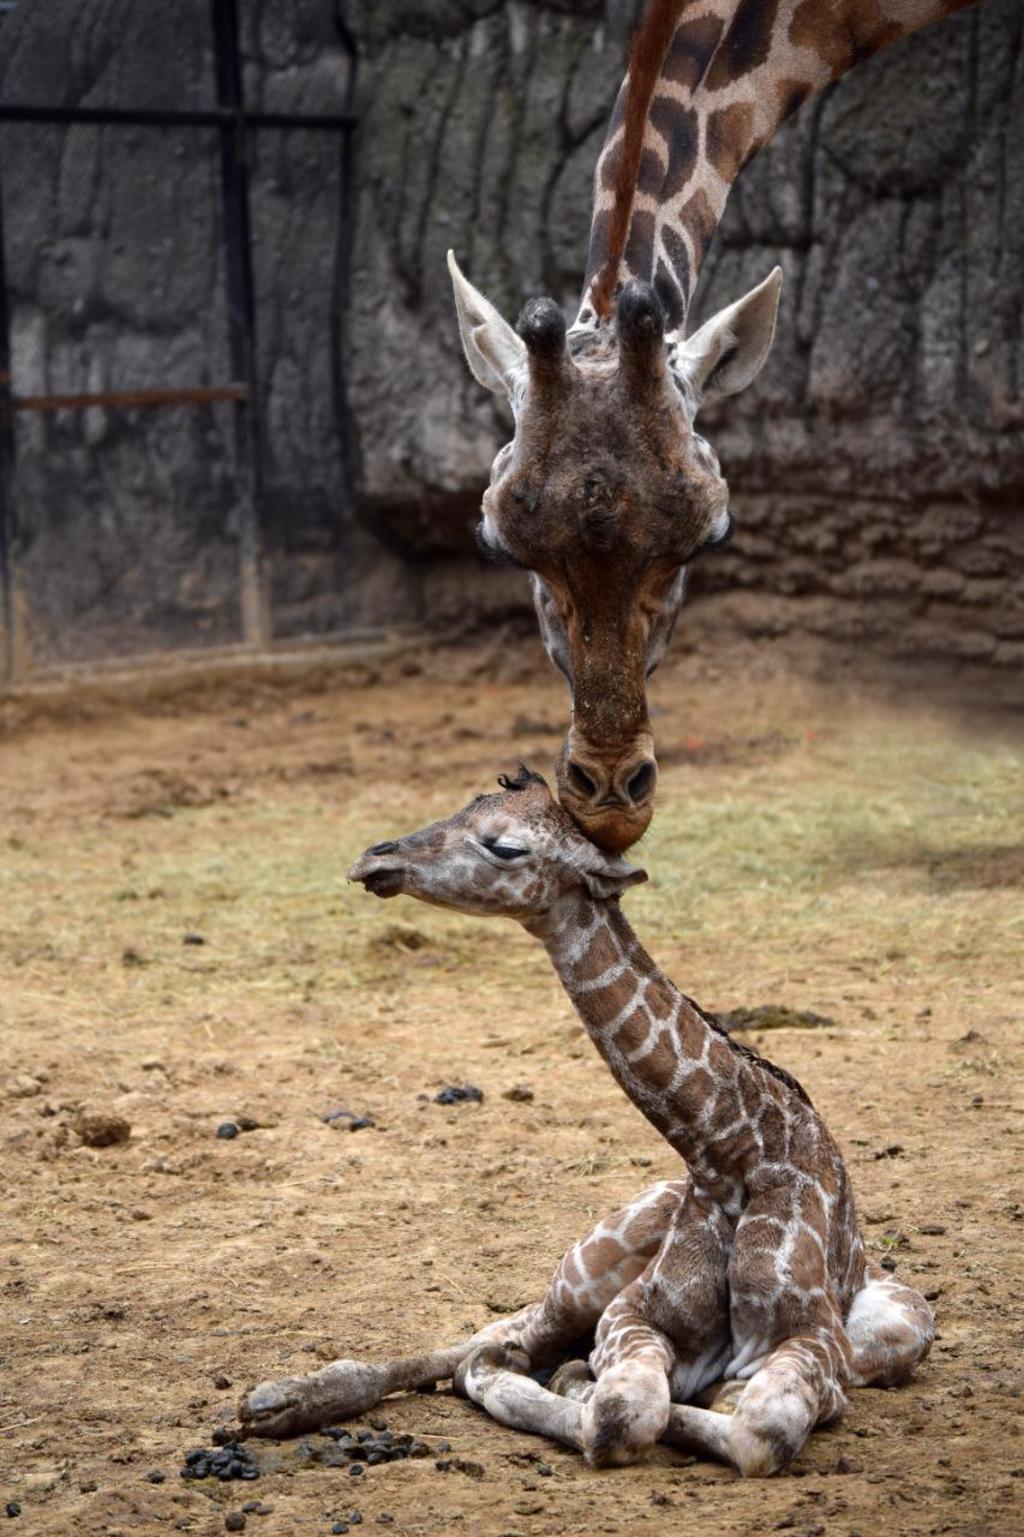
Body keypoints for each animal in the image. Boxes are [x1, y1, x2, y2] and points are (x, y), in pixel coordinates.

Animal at [240, 769, 934, 1474]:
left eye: (504, 846)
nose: (373, 859)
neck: (734, 1150)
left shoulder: (817, 1344)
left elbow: (751, 1427)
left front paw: (604, 1380)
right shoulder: (628, 1314)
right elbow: (620, 1412)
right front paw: (578, 1379)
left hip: (893, 1331)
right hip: (583, 1271)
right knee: (491, 1337)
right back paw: (279, 1400)